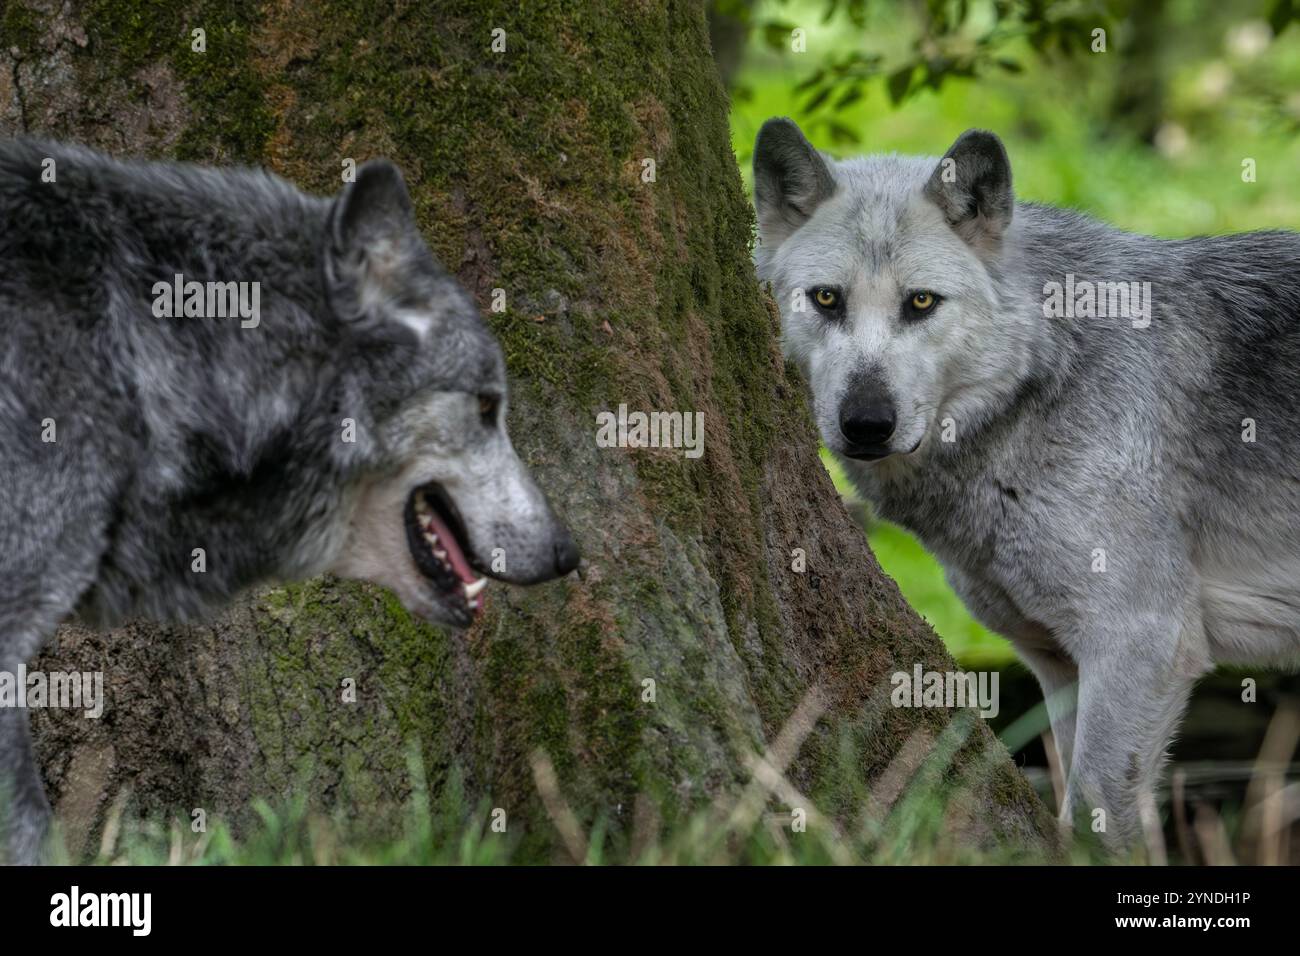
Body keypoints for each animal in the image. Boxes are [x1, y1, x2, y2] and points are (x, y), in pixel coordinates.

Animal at [754, 117, 1300, 849]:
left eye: (920, 302)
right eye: (825, 299)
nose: (866, 423)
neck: (1048, 376)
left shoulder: (1142, 642)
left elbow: (1097, 822)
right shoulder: (1058, 664)